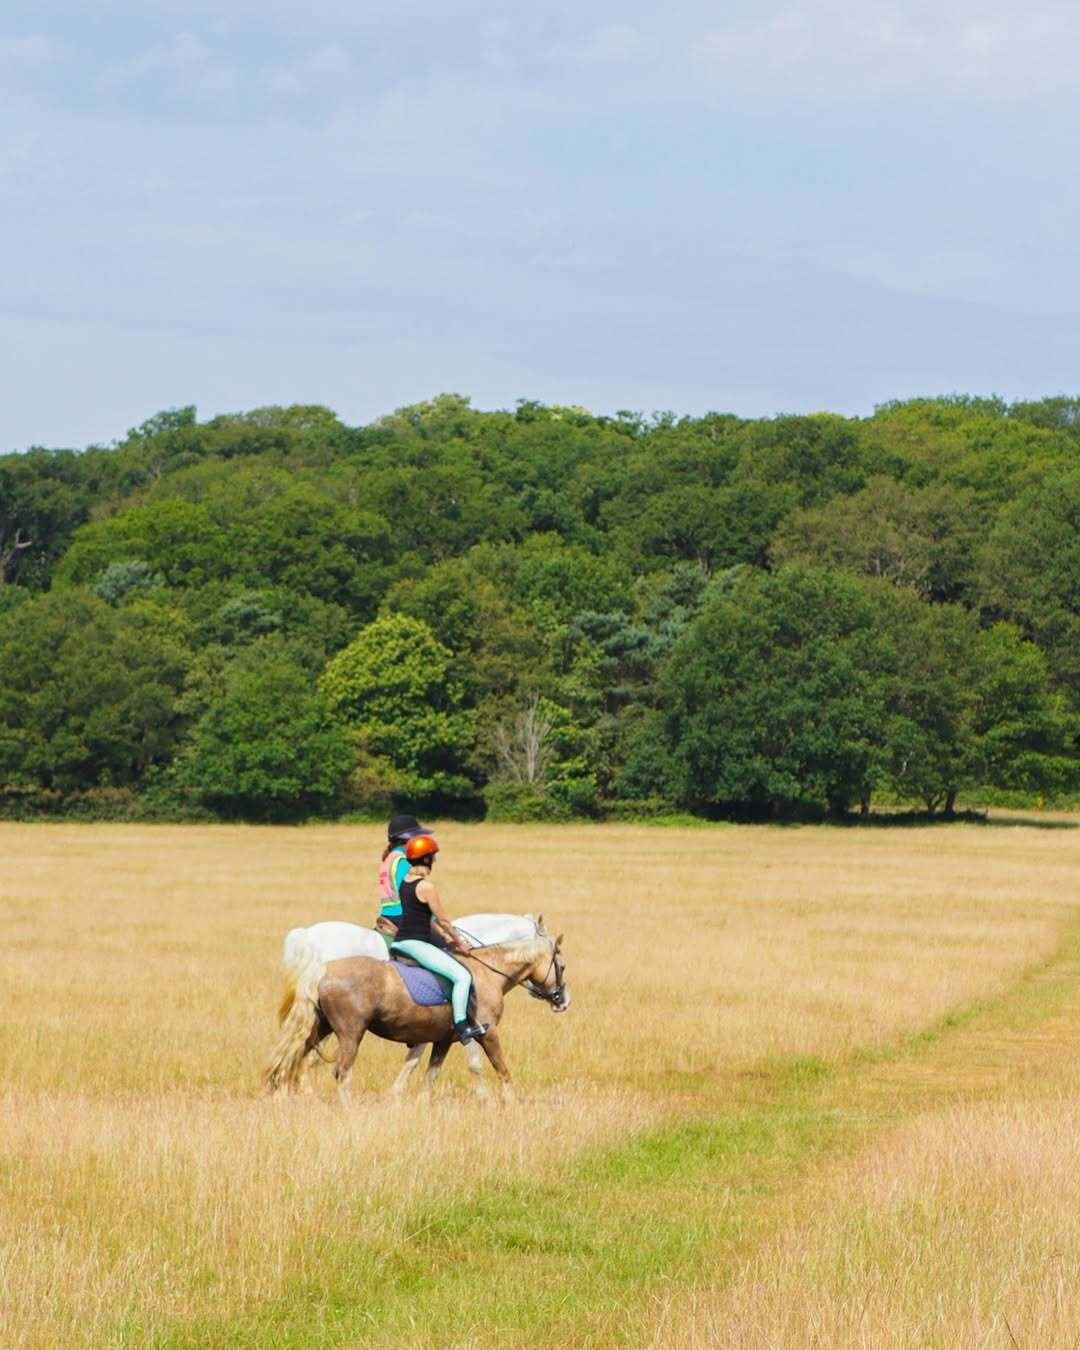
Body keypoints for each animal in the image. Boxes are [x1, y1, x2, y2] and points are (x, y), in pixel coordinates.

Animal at [264, 930, 567, 1103]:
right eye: (562, 966)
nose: (562, 1002)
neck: (488, 973)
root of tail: (321, 970)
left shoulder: (445, 1038)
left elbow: (433, 1072)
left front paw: (421, 1102)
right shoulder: (487, 1032)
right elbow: (497, 1066)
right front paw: (506, 1100)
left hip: (319, 1028)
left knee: (293, 1060)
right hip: (351, 1033)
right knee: (341, 1070)